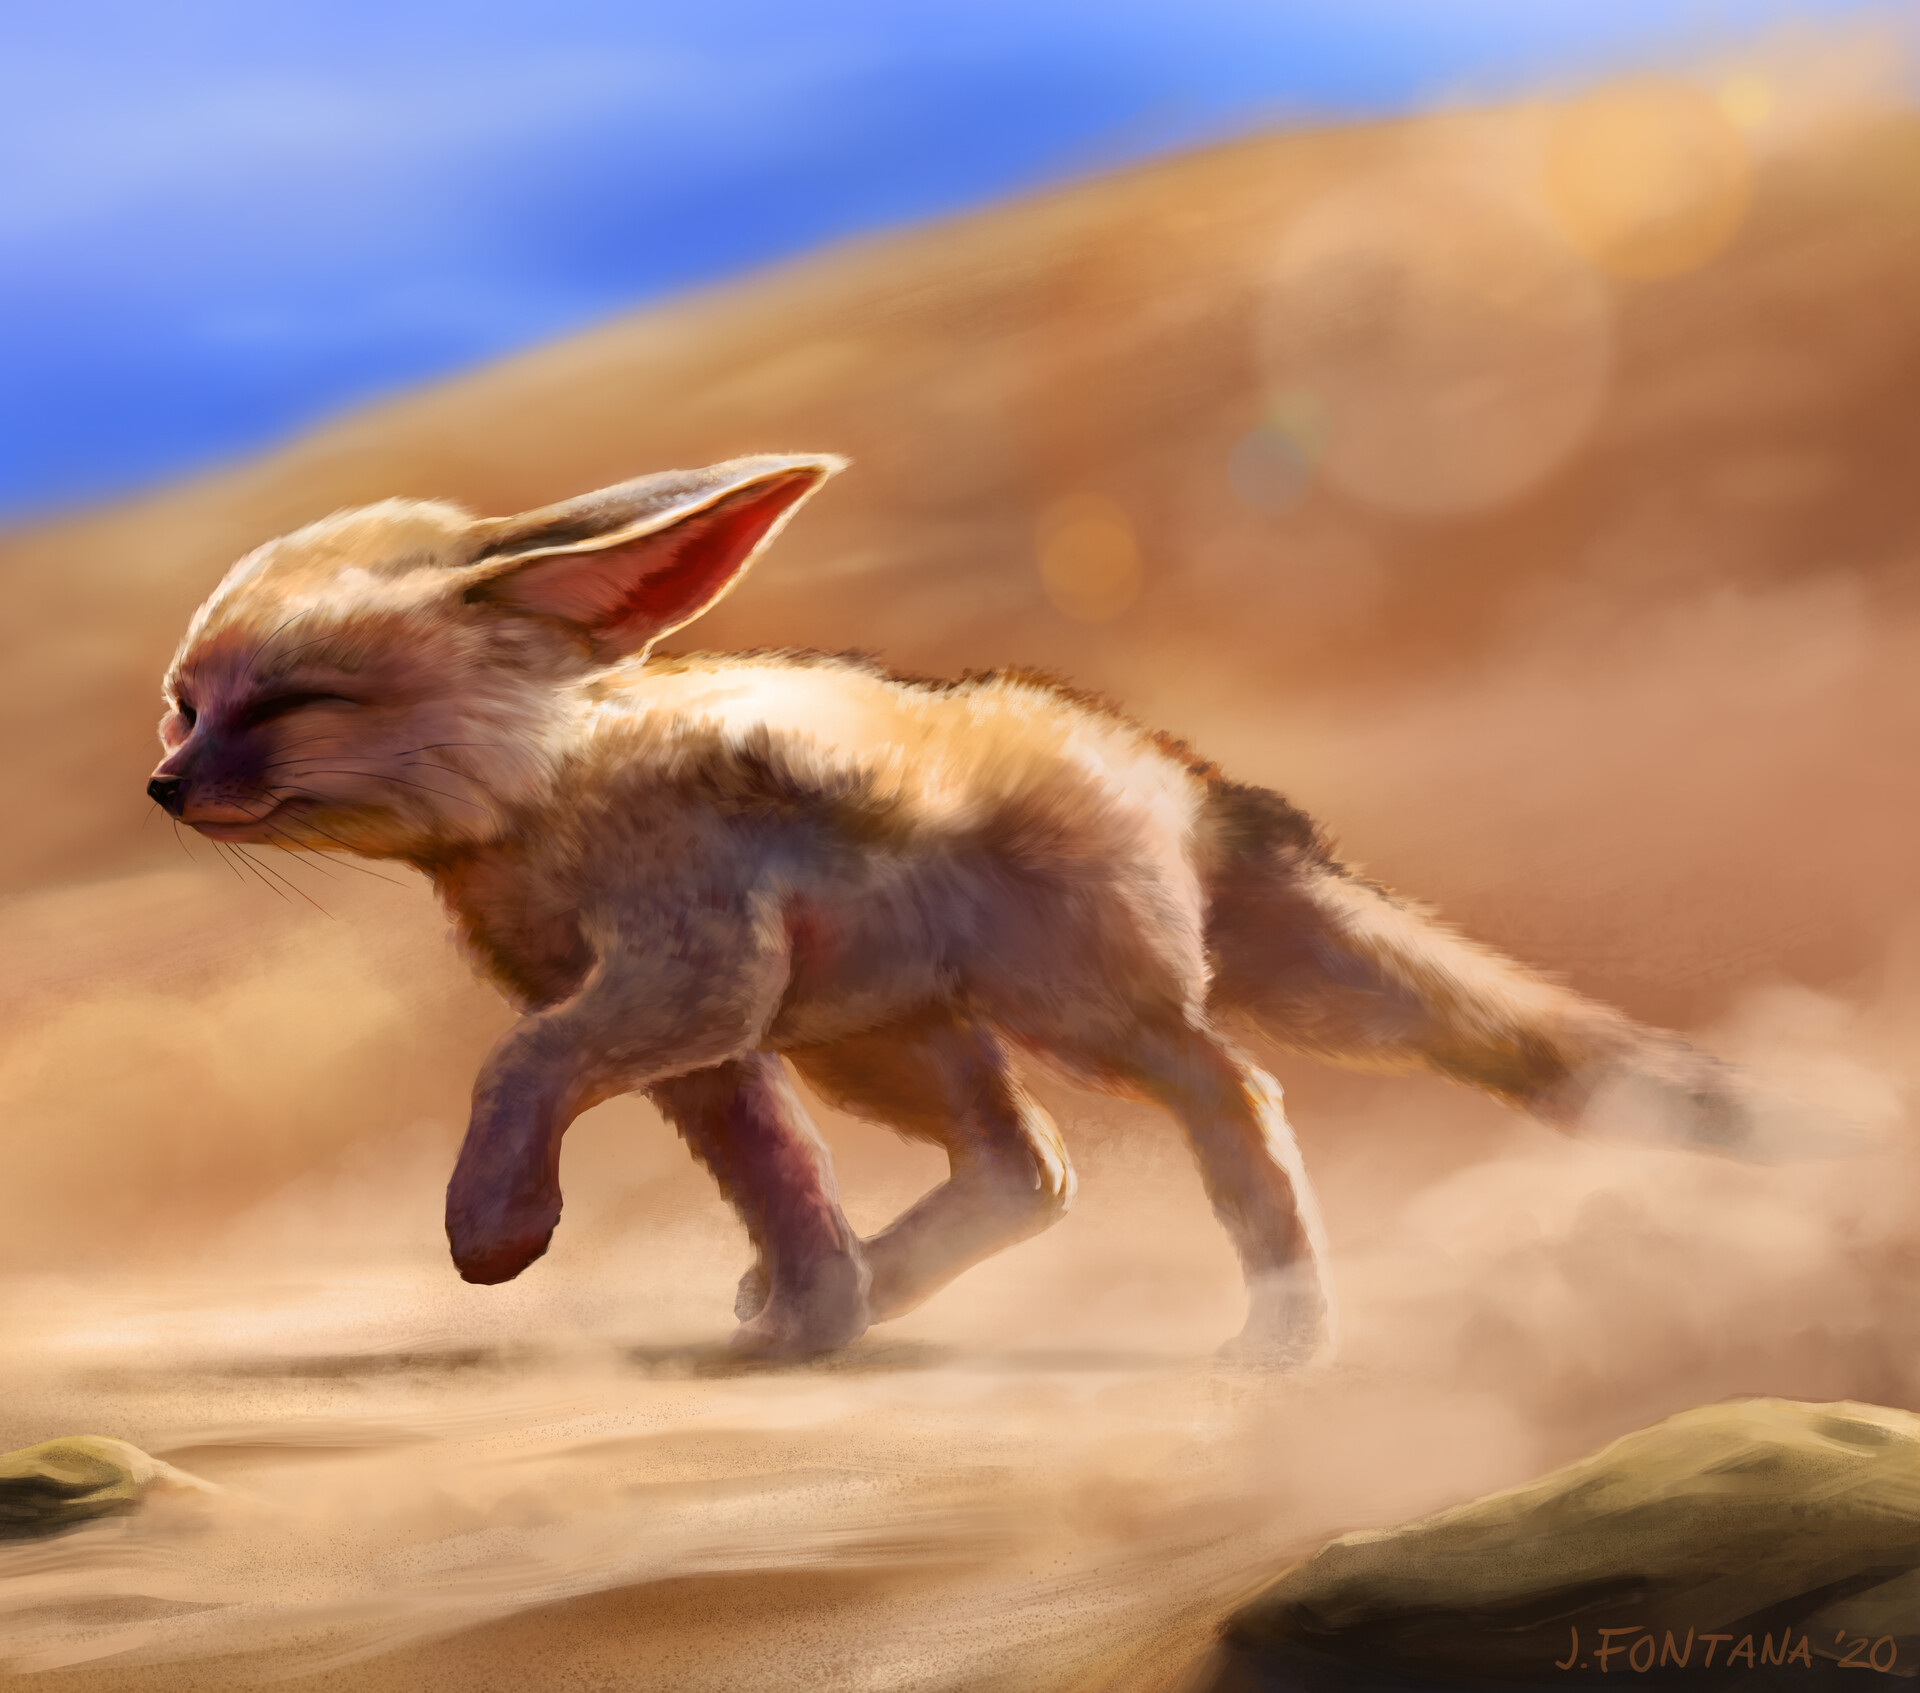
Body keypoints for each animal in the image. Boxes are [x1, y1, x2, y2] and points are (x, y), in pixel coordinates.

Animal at [150, 453, 1821, 1364]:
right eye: (184, 703)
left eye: (287, 705)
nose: (162, 787)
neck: (552, 797)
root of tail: (1175, 773)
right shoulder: (717, 1042)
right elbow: (775, 1184)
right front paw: (815, 1312)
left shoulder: (687, 985)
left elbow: (516, 1068)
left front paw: (495, 1229)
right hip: (887, 1036)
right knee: (1033, 1173)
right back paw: (858, 1300)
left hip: (1071, 1015)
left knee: (1235, 1099)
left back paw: (1285, 1336)